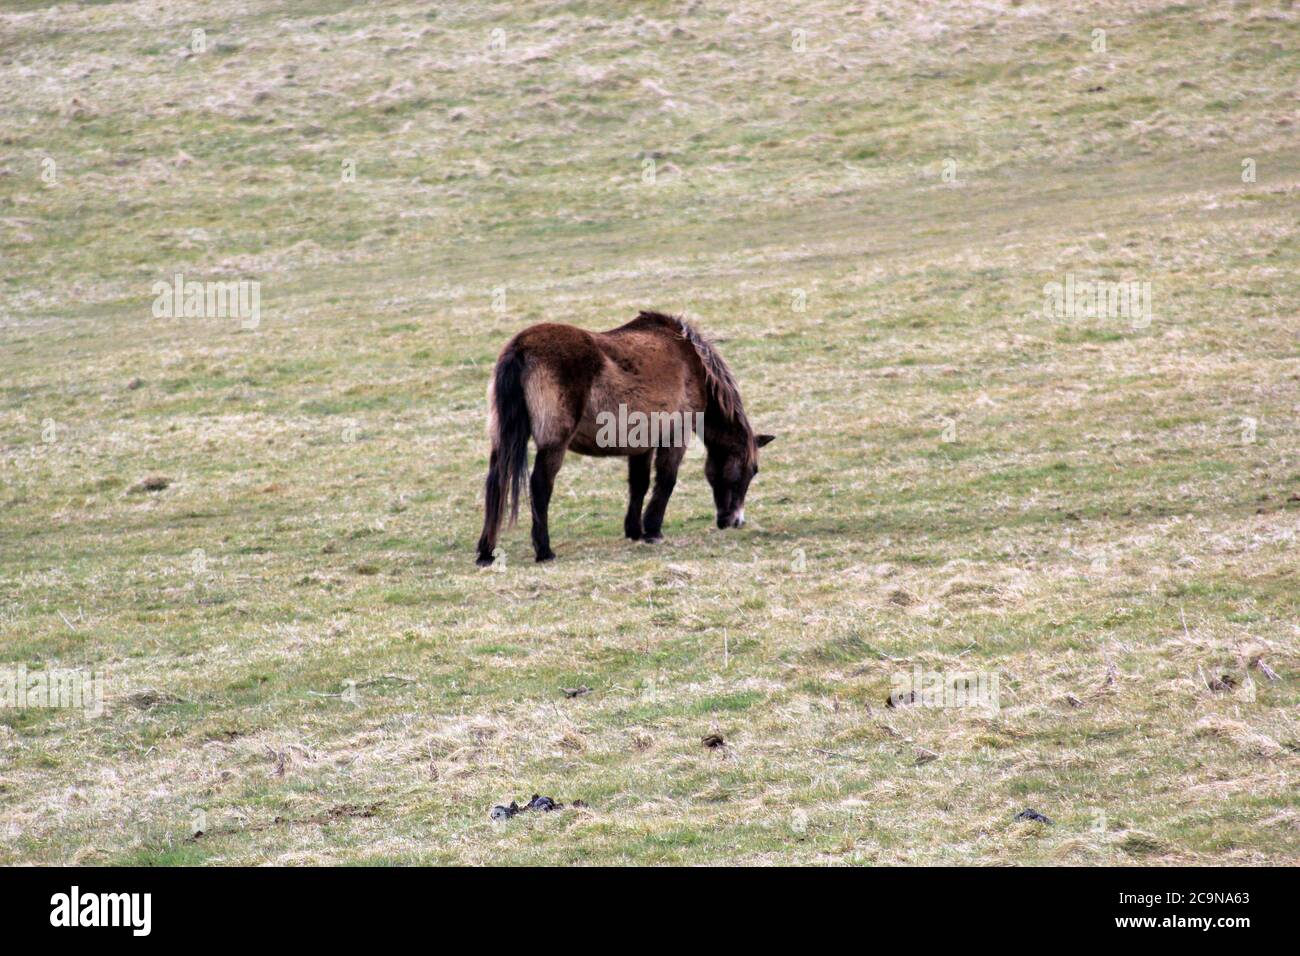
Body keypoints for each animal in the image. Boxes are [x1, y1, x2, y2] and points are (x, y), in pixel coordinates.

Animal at [475, 311, 774, 565]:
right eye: (752, 470)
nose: (736, 521)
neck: (692, 362)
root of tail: (520, 347)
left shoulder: (642, 444)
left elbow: (639, 484)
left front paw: (634, 530)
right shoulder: (675, 436)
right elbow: (666, 480)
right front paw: (653, 530)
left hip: (503, 440)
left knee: (497, 482)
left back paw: (486, 552)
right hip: (553, 444)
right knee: (540, 486)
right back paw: (544, 550)